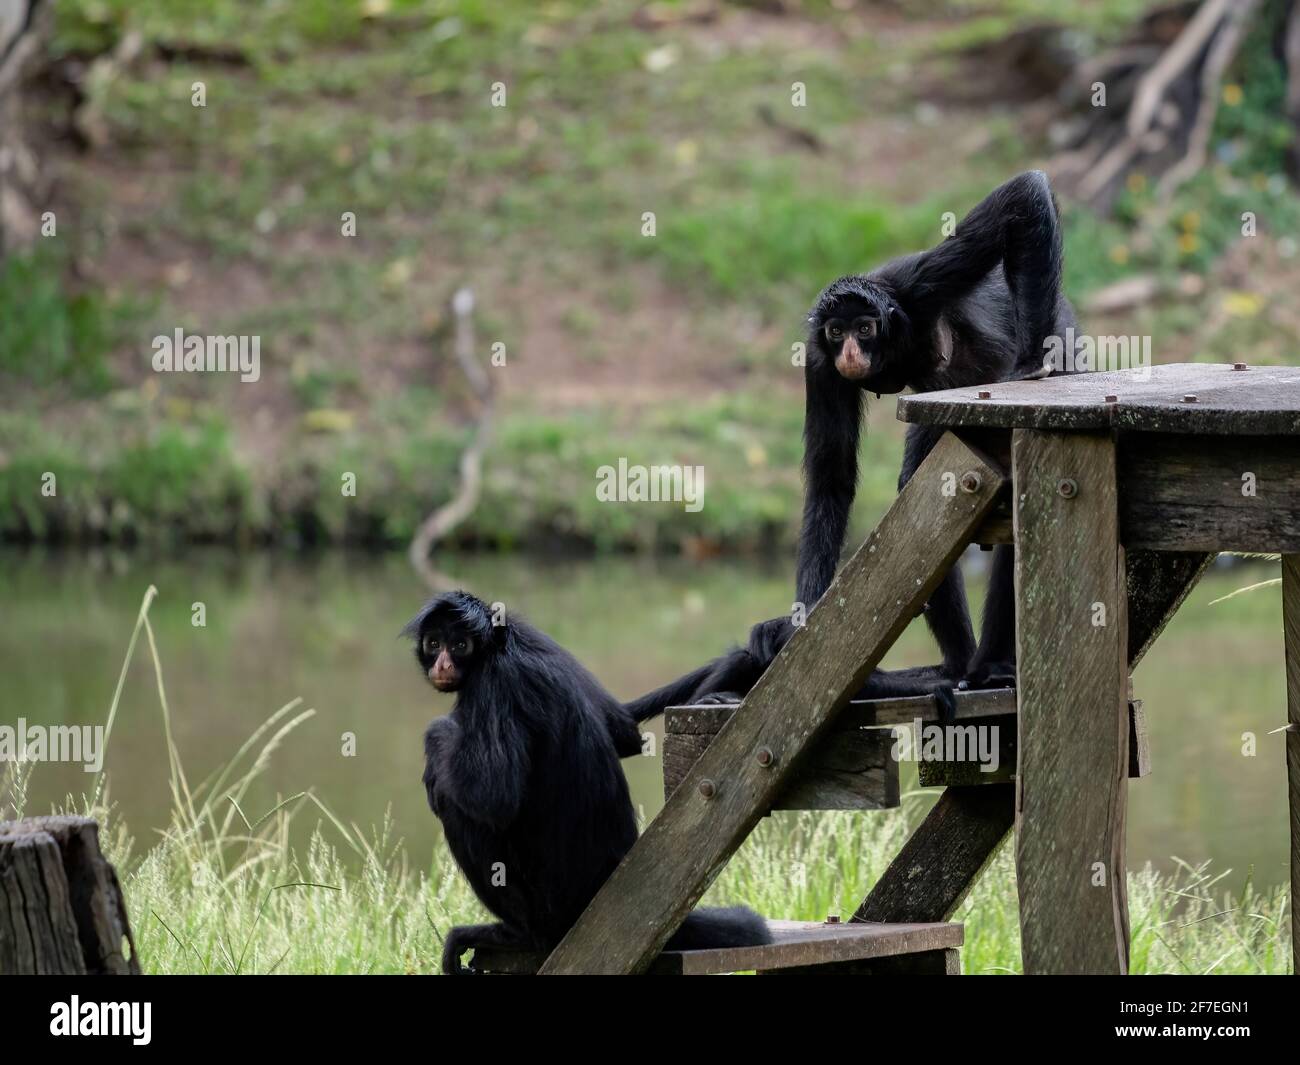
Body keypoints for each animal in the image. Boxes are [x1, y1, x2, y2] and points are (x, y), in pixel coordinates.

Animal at [407, 591, 772, 974]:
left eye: (460, 645)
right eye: (434, 644)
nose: (441, 665)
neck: (499, 647)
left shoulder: (494, 684)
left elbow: (491, 797)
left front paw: (438, 731)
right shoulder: (540, 639)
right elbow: (623, 733)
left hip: (550, 908)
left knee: (455, 803)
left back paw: (517, 934)